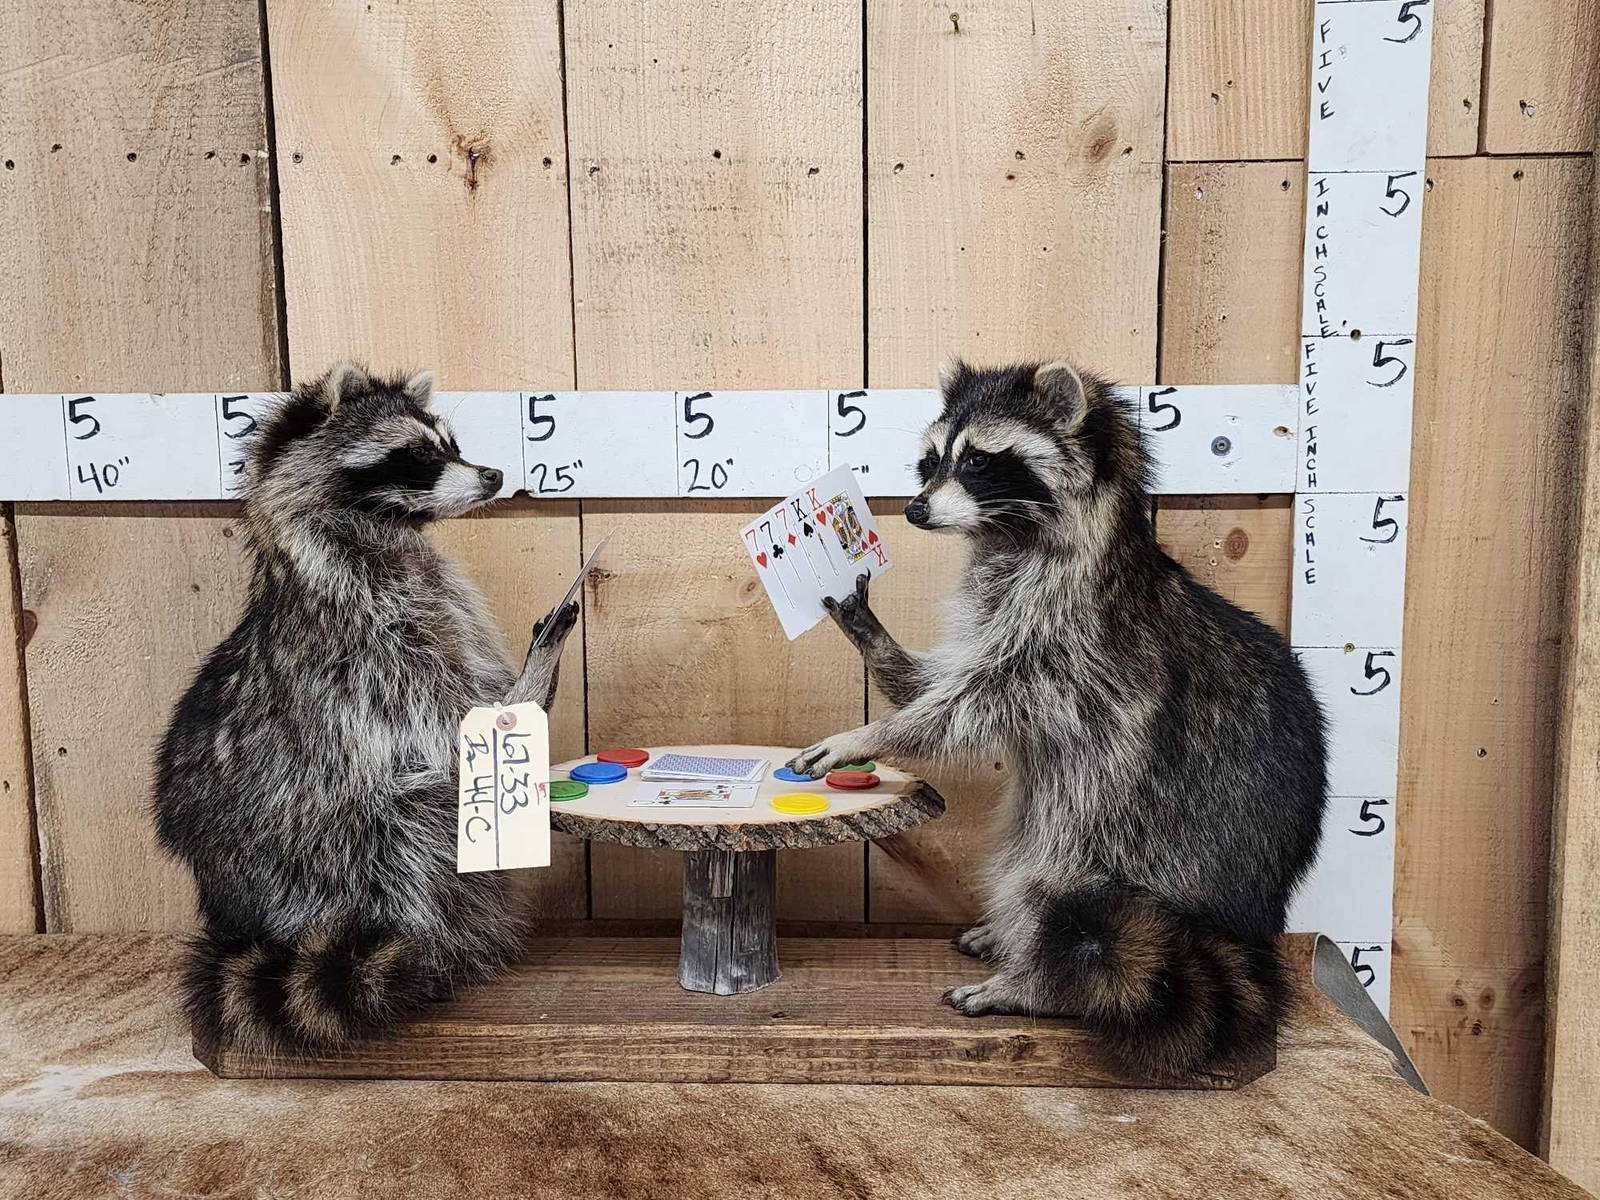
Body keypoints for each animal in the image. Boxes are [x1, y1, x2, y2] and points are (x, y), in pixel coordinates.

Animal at [154, 363, 579, 1054]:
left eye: (453, 444)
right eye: (416, 455)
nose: (493, 475)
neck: (386, 535)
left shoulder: (440, 602)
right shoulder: (364, 650)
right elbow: (449, 730)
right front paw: (527, 691)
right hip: (330, 852)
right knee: (411, 826)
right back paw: (441, 944)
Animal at [789, 359, 1327, 1078]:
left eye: (979, 460)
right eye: (930, 461)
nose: (915, 508)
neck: (1012, 535)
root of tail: (1246, 928)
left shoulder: (1078, 642)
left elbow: (968, 706)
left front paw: (871, 734)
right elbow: (939, 681)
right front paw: (875, 642)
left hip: (1125, 838)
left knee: (1055, 885)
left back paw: (1038, 980)